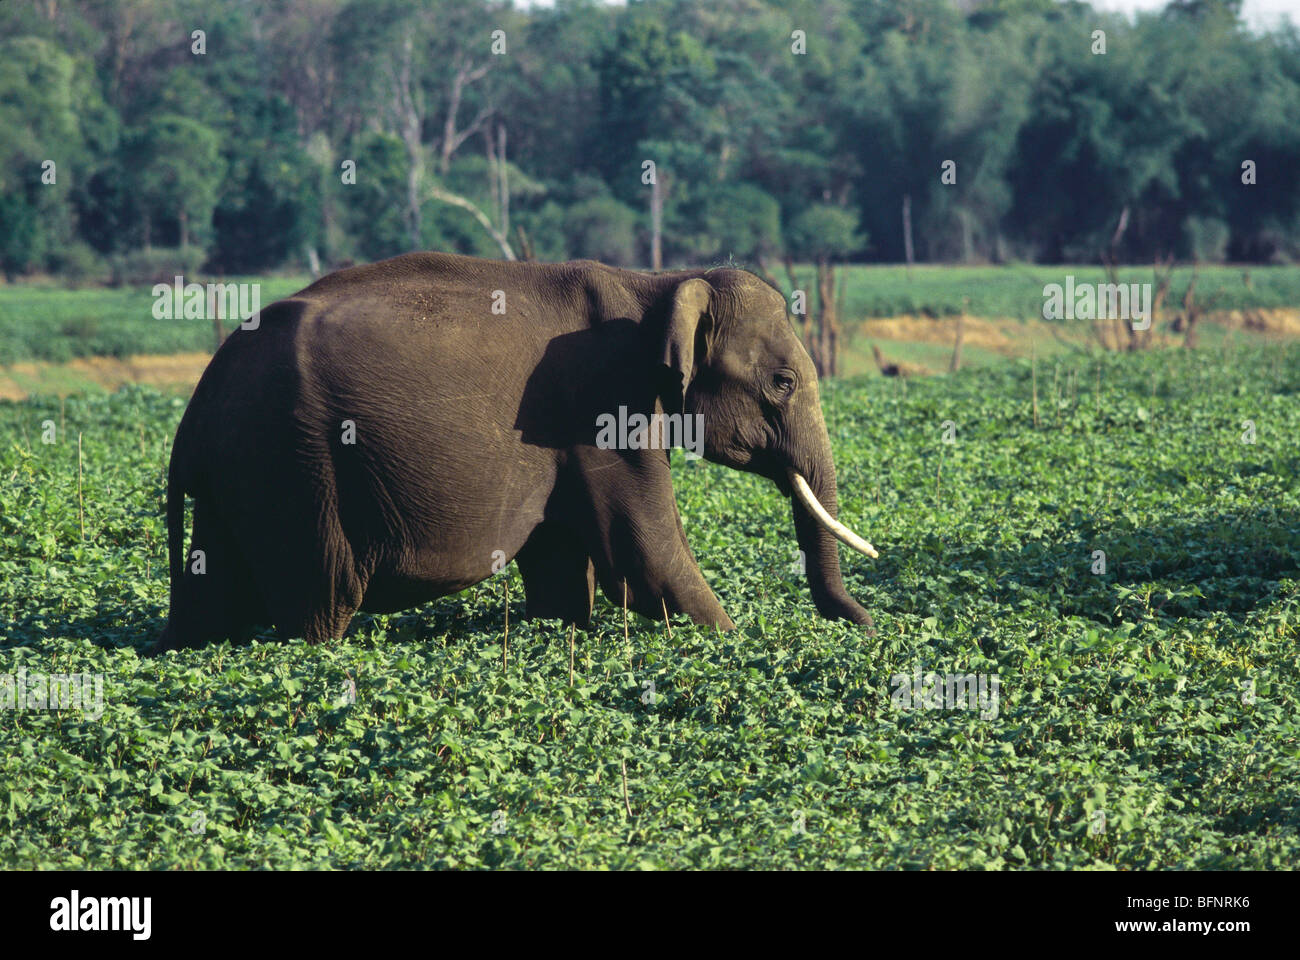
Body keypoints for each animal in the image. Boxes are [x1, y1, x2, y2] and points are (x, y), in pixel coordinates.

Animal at [154, 252, 877, 651]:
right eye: (782, 383)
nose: (873, 628)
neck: (661, 283)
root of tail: (194, 418)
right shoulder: (602, 407)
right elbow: (644, 558)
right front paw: (734, 642)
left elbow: (563, 575)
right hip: (294, 468)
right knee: (321, 601)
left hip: (242, 476)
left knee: (209, 602)